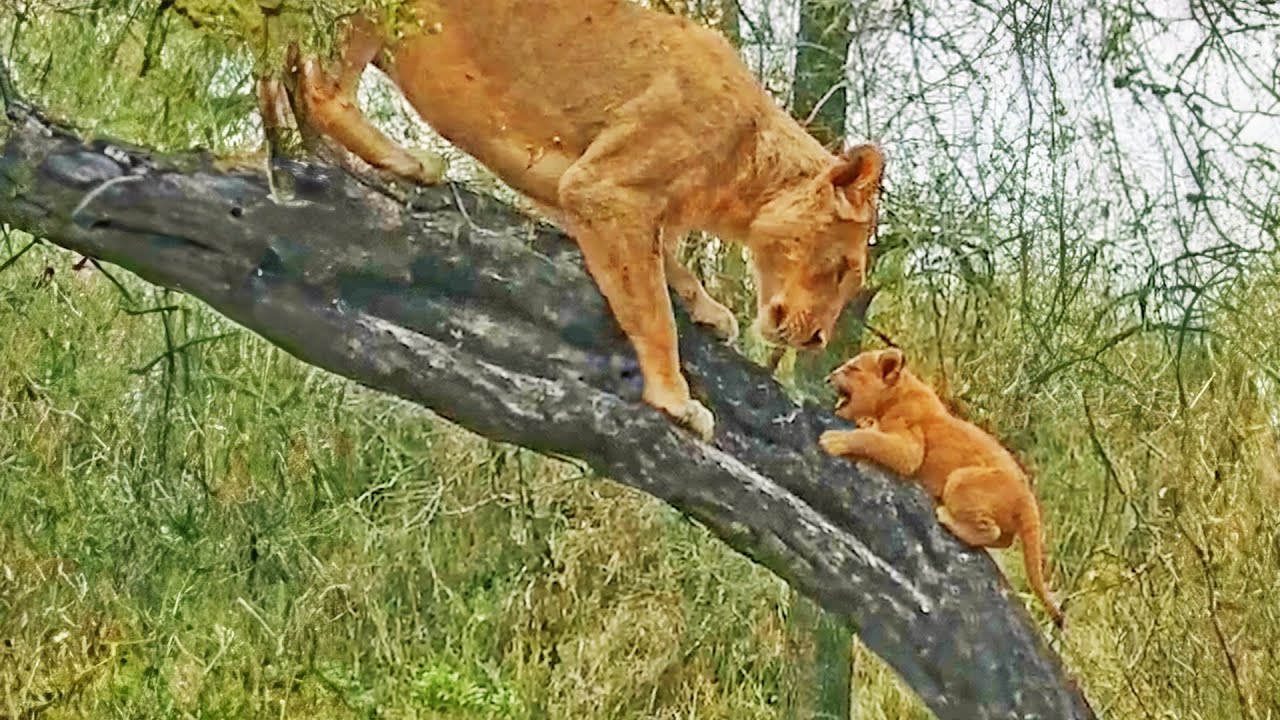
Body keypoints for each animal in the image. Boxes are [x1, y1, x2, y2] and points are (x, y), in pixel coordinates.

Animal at [273, 0, 883, 441]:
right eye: (839, 269)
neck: (744, 174)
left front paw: (708, 310)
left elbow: (666, 263)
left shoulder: (580, 192)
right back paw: (410, 161)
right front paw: (676, 400)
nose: (816, 340)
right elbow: (651, 309)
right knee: (324, 89)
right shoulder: (602, 187)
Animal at [819, 349, 1064, 627]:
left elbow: (872, 440)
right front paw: (867, 422)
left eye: (853, 369)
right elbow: (872, 431)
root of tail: (1028, 498)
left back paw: (946, 515)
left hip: (960, 479)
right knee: (1004, 538)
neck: (894, 395)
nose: (828, 378)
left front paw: (833, 440)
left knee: (990, 531)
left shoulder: (910, 448)